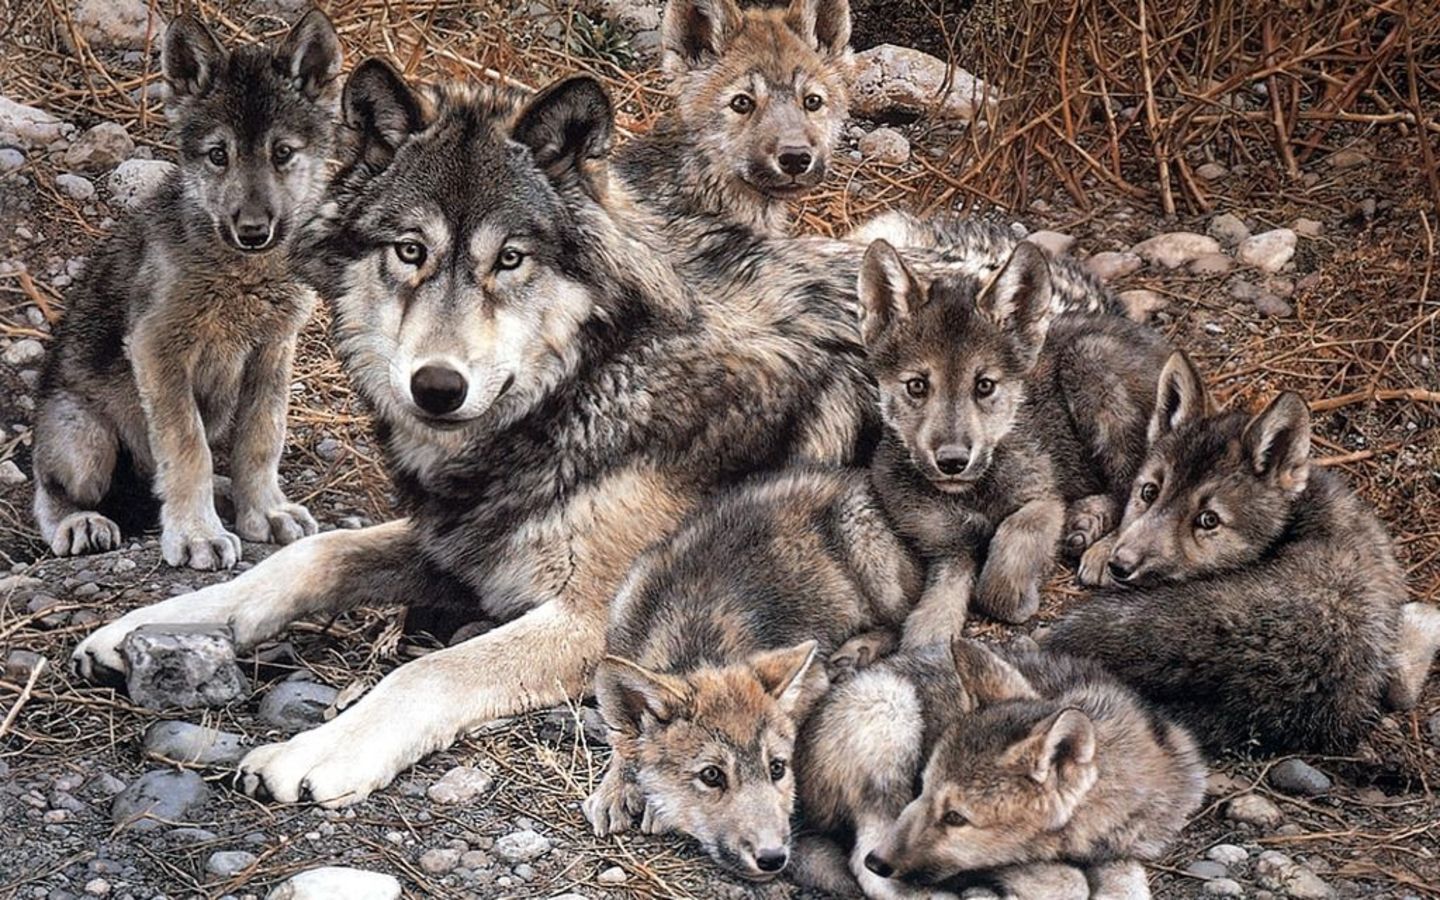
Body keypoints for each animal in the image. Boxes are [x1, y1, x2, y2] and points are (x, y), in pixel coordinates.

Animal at [31, 11, 340, 569]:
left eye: (282, 153)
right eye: (218, 155)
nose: (253, 231)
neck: (242, 275)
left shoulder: (273, 350)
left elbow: (261, 440)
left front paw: (265, 511)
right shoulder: (157, 349)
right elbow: (186, 448)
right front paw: (197, 535)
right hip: (83, 441)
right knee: (51, 490)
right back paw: (80, 522)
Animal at [70, 65, 877, 807]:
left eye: (510, 259)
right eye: (409, 251)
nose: (436, 386)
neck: (597, 380)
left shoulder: (598, 621)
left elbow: (426, 670)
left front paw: (319, 749)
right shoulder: (462, 540)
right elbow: (305, 558)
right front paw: (151, 625)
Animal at [583, 468, 921, 880]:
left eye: (777, 768)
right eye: (711, 775)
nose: (772, 857)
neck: (693, 638)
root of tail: (856, 475)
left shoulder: (812, 680)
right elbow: (623, 740)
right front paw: (615, 789)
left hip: (869, 554)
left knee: (902, 620)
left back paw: (856, 652)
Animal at [796, 639, 1204, 899]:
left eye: (956, 817)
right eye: (921, 789)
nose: (879, 862)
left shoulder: (1124, 848)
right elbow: (1065, 882)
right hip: (888, 706)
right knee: (864, 866)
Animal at [858, 237, 1171, 643]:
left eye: (984, 385)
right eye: (916, 385)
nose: (953, 461)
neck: (973, 492)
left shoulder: (1042, 501)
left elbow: (1005, 563)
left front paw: (1018, 598)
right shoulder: (947, 546)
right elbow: (936, 608)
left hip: (1091, 362)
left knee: (1134, 482)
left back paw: (1100, 548)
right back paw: (1084, 521)